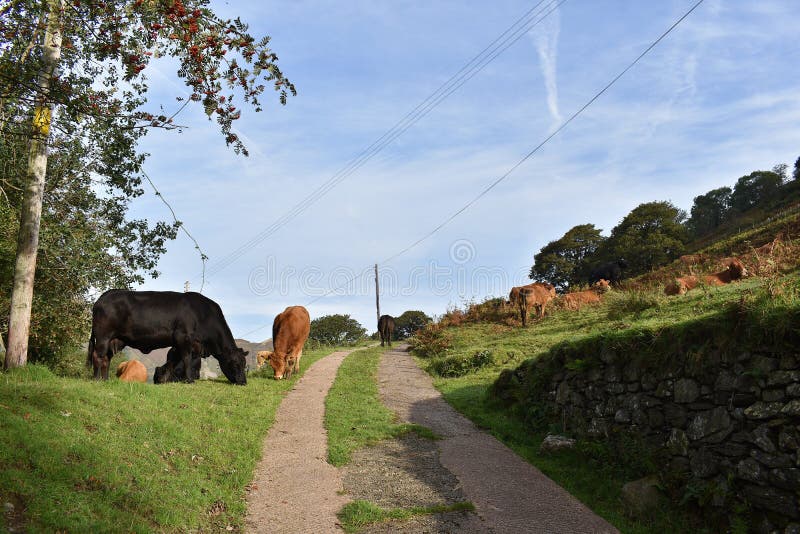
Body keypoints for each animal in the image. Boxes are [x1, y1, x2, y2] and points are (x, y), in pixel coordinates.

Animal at [87, 290, 248, 385]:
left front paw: (165, 380)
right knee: (98, 356)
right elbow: (186, 359)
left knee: (106, 358)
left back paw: (105, 380)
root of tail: (105, 295)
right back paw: (96, 380)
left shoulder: (177, 345)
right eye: (235, 364)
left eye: (244, 364)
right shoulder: (183, 337)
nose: (243, 382)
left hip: (113, 340)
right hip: (103, 336)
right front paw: (189, 380)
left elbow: (172, 362)